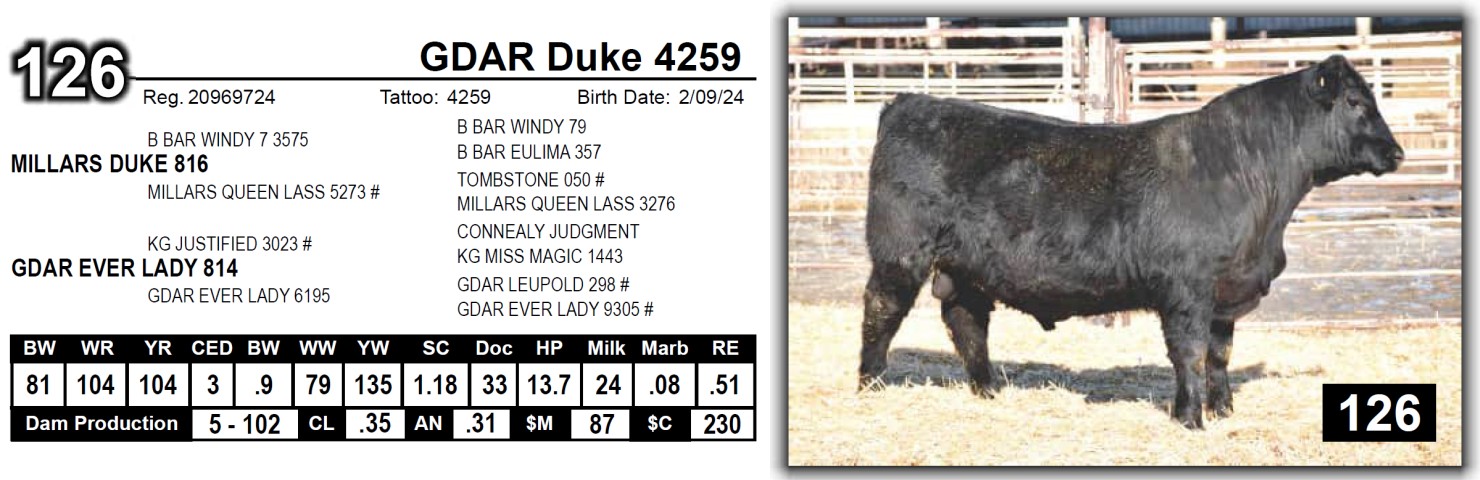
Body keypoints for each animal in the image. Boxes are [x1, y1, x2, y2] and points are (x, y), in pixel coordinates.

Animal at [859, 54, 1404, 429]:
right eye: (1355, 102)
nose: (1397, 152)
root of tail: (910, 102)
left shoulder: (1225, 293)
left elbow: (1220, 355)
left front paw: (1223, 410)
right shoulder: (1187, 291)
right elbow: (1190, 353)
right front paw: (1190, 419)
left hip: (967, 266)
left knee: (968, 324)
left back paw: (989, 392)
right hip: (899, 253)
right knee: (882, 310)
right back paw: (870, 384)